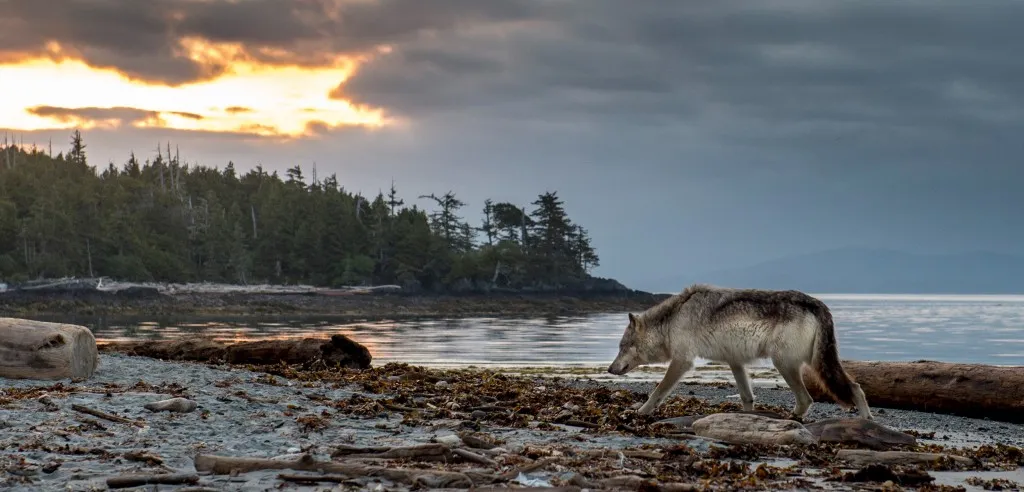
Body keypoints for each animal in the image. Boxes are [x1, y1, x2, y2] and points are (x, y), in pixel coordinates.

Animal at [607, 284, 872, 420]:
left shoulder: (682, 362)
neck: (672, 319)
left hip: (786, 364)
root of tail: (819, 304)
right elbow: (747, 397)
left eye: (622, 347)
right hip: (815, 363)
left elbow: (658, 391)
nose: (609, 369)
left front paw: (640, 411)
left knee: (807, 399)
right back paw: (866, 423)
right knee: (856, 387)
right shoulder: (735, 362)